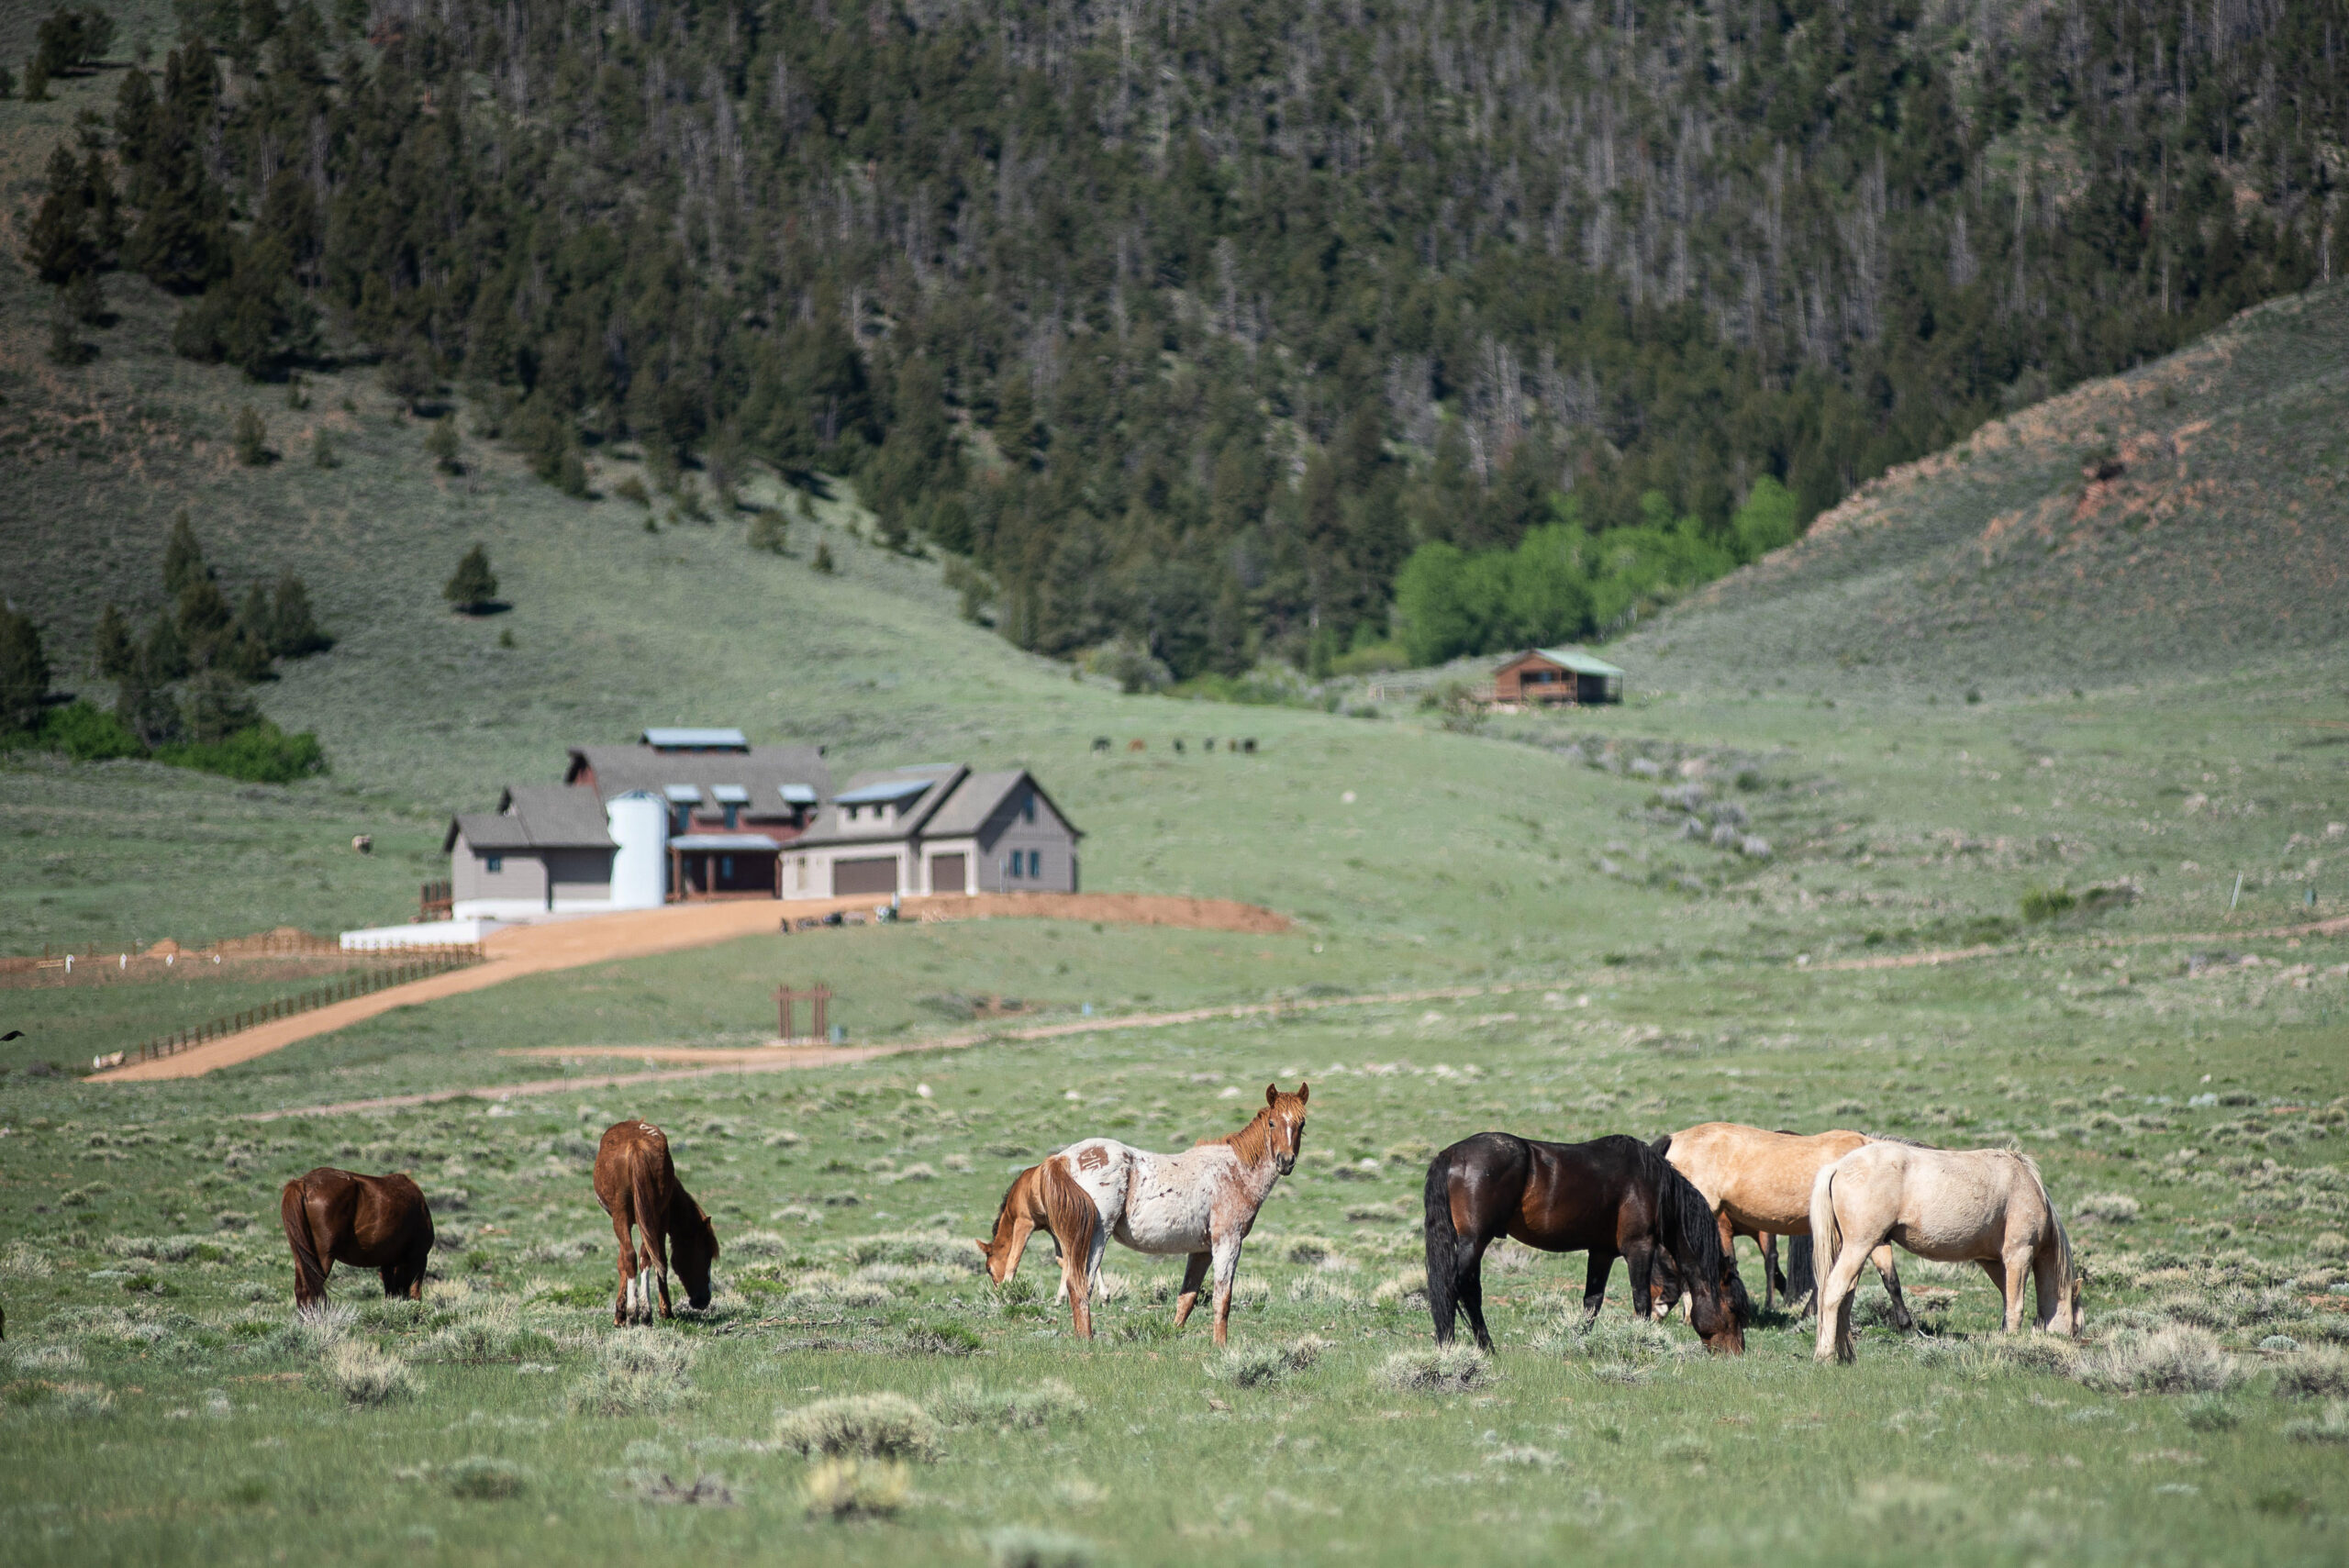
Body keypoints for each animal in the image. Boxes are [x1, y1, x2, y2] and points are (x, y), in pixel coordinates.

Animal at [279, 1168, 435, 1307]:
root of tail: (301, 1184)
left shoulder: (388, 1263)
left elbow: (392, 1295)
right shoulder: (418, 1258)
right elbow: (415, 1294)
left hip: (301, 1256)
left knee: (302, 1291)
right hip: (322, 1257)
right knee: (311, 1291)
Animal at [593, 1120, 720, 1325]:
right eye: (706, 1254)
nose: (704, 1300)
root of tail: (636, 1145)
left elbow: (626, 1262)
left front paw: (621, 1314)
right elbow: (659, 1261)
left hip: (625, 1218)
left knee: (632, 1256)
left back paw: (636, 1312)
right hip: (651, 1218)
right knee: (646, 1257)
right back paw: (644, 1313)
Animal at [977, 1083, 1308, 1345]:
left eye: (1302, 1123)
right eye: (1272, 1123)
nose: (1286, 1161)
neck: (1234, 1170)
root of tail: (1060, 1159)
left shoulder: (1201, 1251)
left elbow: (1186, 1299)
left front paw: (1172, 1336)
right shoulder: (1228, 1242)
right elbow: (1222, 1297)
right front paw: (1221, 1347)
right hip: (1095, 1236)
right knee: (1080, 1283)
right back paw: (1087, 1341)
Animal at [1423, 1132, 1748, 1355]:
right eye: (1733, 1308)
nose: (1736, 1354)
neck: (1655, 1185)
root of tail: (1451, 1154)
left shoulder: (1601, 1253)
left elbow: (1592, 1301)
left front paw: (1579, 1342)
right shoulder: (1639, 1247)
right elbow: (1641, 1300)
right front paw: (1641, 1342)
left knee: (1465, 1289)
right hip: (1475, 1241)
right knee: (1457, 1287)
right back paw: (1459, 1347)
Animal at [1811, 1141, 2081, 1363]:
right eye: (2078, 1326)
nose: (2073, 1346)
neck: (2026, 1185)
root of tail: (1837, 1167)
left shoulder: (1993, 1262)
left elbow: (2007, 1303)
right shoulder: (2019, 1255)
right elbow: (2016, 1308)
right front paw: (2012, 1347)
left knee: (1846, 1297)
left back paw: (1845, 1355)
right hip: (1860, 1246)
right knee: (1833, 1292)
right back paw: (1826, 1356)